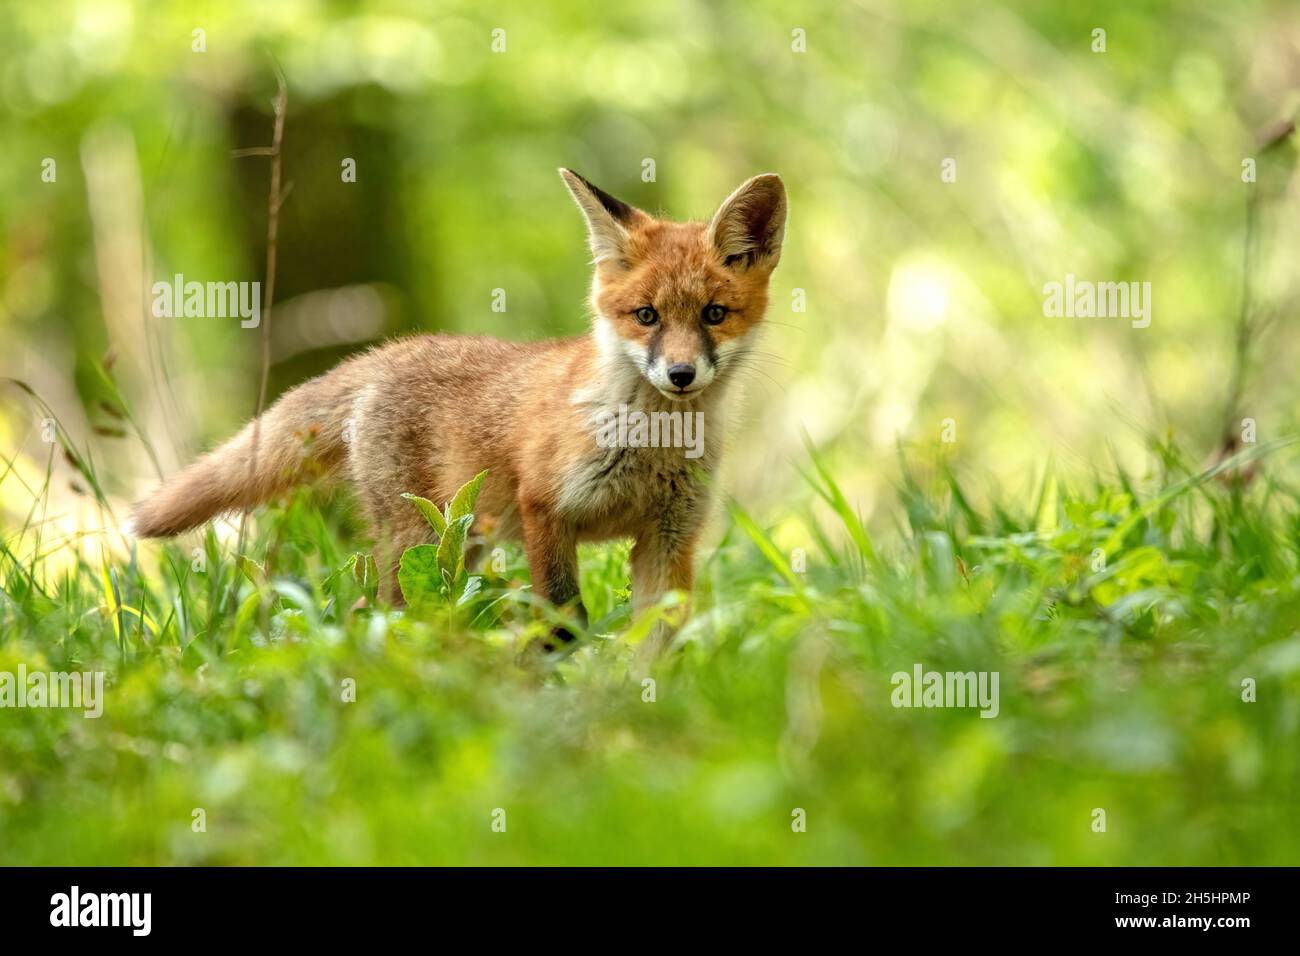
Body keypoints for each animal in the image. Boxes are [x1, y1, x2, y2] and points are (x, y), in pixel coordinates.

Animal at [128, 168, 787, 653]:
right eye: (646, 316)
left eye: (714, 315)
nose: (680, 375)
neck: (653, 445)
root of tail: (387, 352)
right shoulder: (544, 506)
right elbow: (564, 623)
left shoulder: (670, 536)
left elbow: (660, 641)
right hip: (419, 540)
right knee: (384, 614)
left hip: (457, 546)